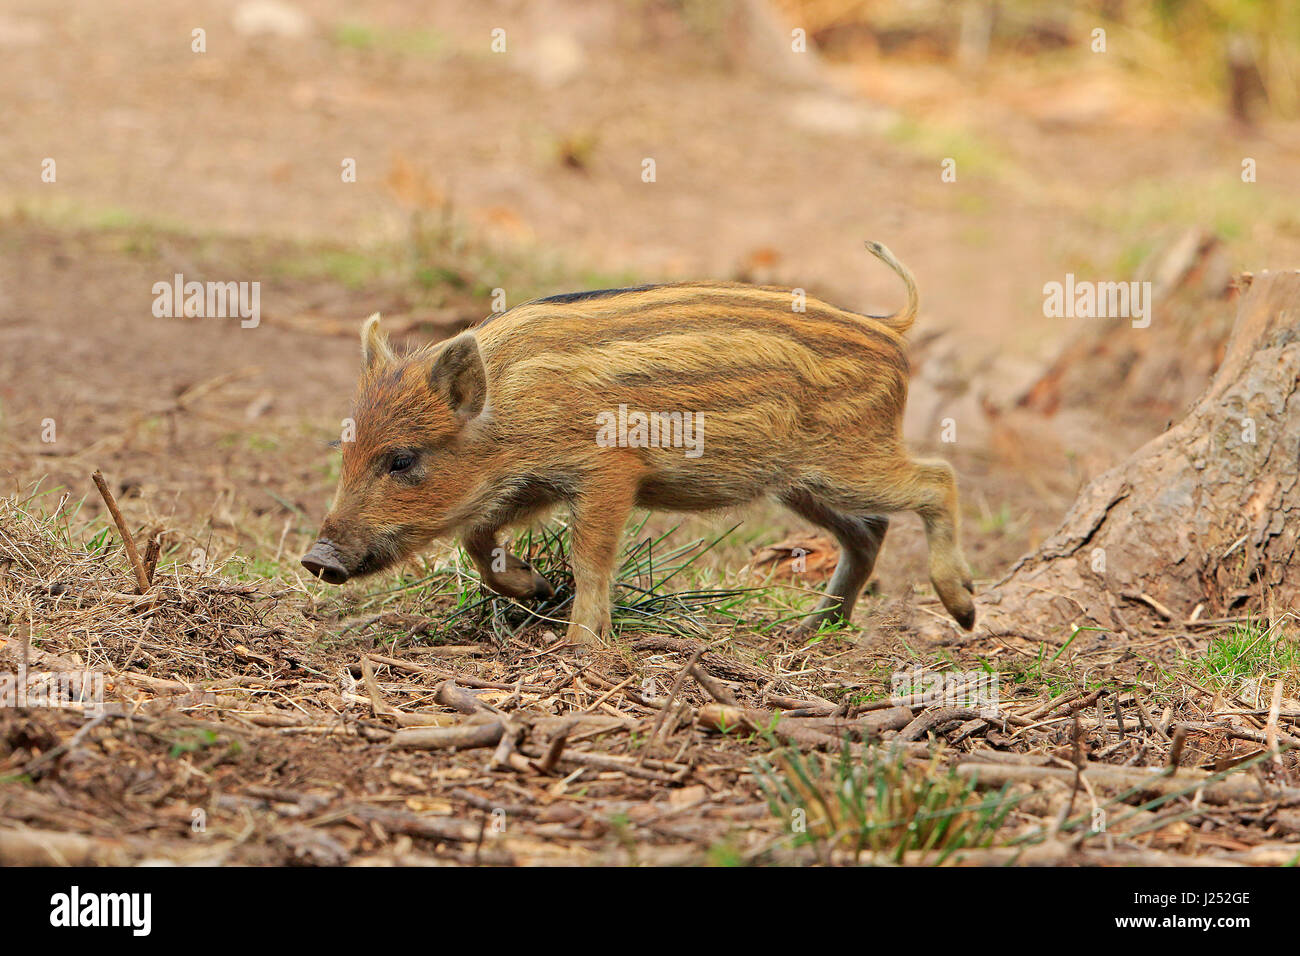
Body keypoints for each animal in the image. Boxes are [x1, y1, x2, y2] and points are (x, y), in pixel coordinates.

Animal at [302, 241, 975, 644]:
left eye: (403, 459)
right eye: (345, 451)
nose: (316, 559)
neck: (511, 409)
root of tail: (891, 330)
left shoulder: (608, 470)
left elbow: (591, 556)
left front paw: (579, 646)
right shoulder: (528, 483)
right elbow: (476, 540)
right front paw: (539, 592)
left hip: (846, 459)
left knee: (936, 478)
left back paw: (963, 610)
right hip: (798, 482)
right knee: (870, 531)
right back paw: (808, 631)